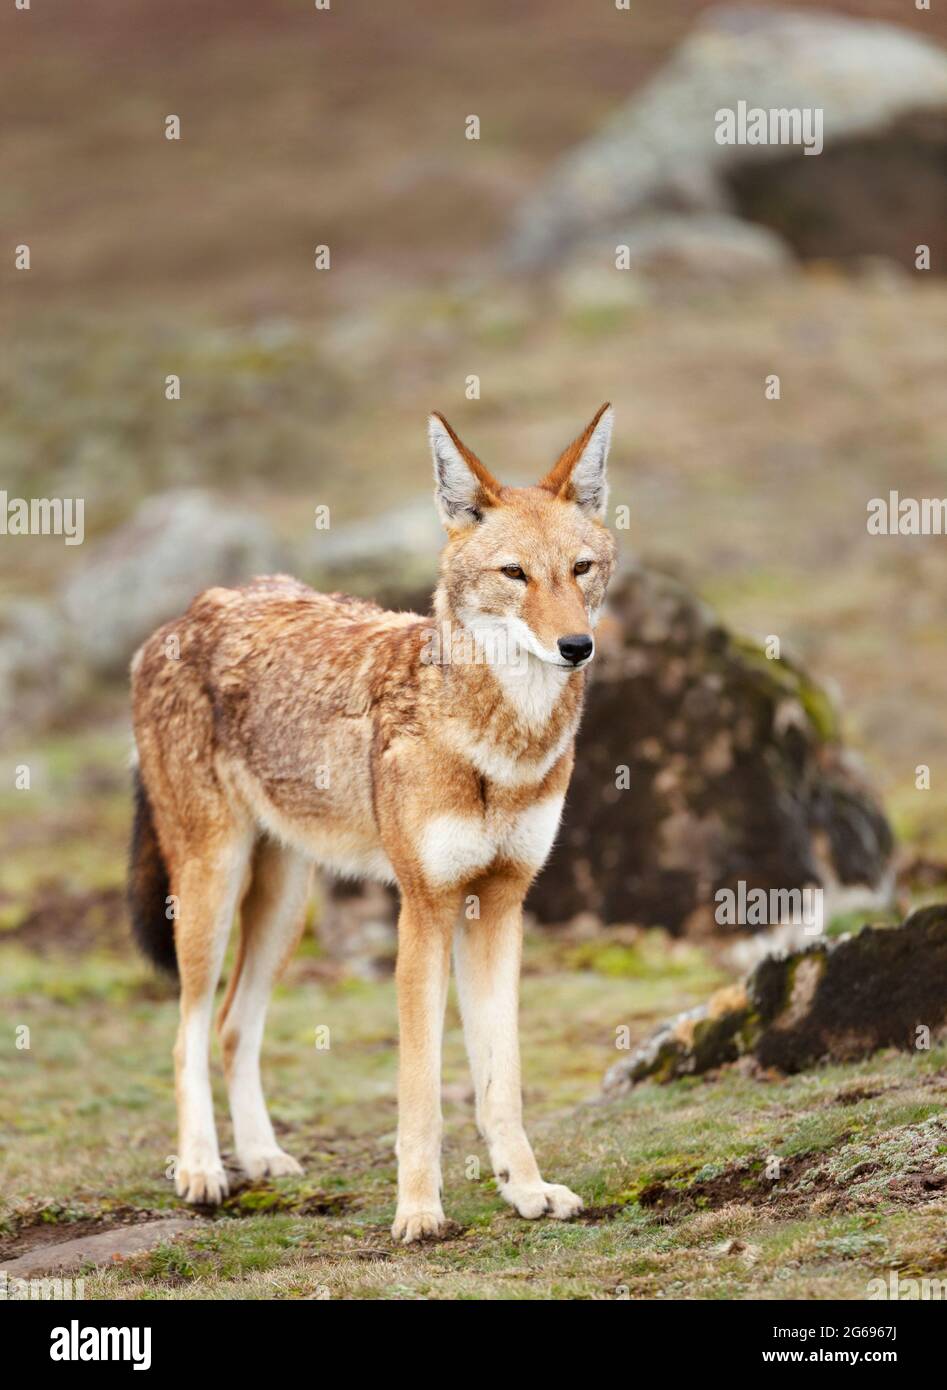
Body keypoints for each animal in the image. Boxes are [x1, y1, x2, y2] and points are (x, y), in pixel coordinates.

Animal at [129, 404, 616, 1242]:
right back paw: (200, 1169)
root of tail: (189, 611)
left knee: (231, 1025)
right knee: (186, 1027)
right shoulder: (423, 908)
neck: (501, 744)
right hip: (211, 890)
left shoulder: (499, 904)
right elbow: (420, 1089)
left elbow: (501, 1082)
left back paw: (262, 1158)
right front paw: (419, 1211)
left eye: (580, 569)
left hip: (283, 906)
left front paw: (524, 1189)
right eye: (514, 574)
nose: (575, 646)